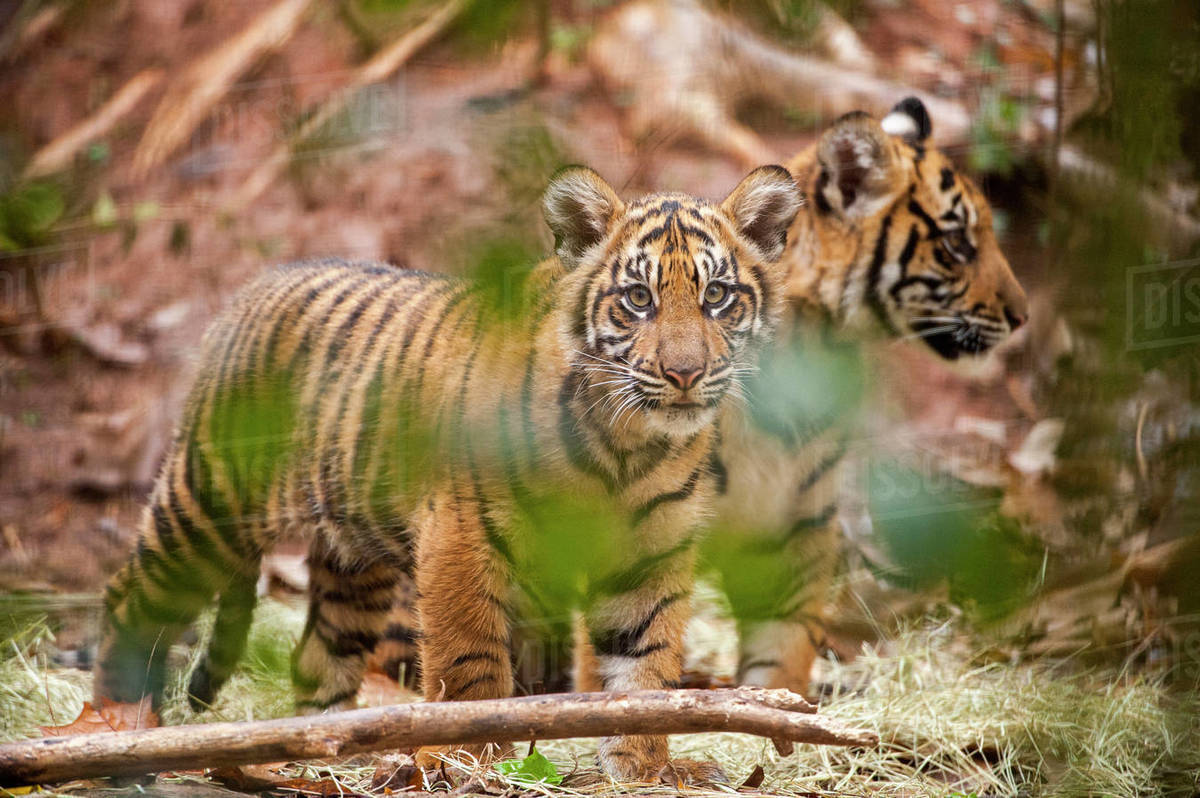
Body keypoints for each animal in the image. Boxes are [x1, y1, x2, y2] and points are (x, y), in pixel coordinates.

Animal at [93, 164, 804, 783]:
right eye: (638, 298)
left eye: (716, 296)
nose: (685, 374)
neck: (628, 447)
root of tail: (249, 288)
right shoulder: (462, 535)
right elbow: (470, 662)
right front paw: (469, 757)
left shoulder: (649, 554)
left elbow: (643, 669)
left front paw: (647, 766)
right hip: (206, 503)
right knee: (127, 598)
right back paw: (111, 727)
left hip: (352, 563)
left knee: (317, 657)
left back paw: (327, 756)